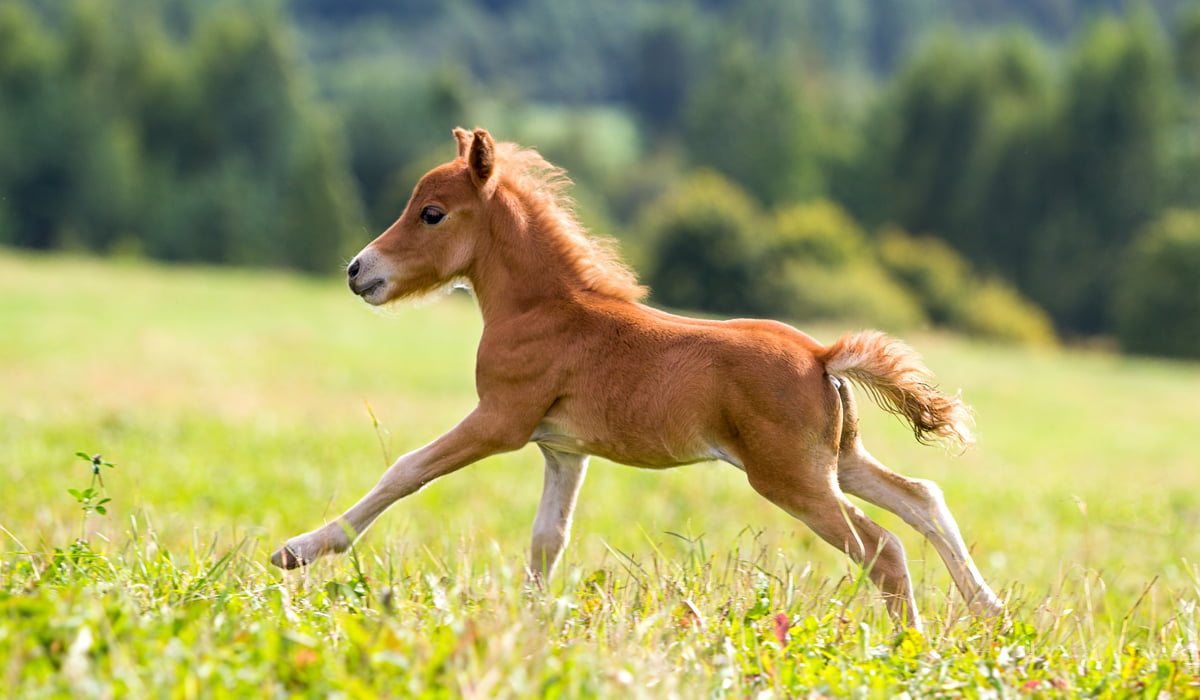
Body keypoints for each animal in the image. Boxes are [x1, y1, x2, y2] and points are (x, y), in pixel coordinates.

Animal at [269, 127, 1005, 630]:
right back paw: (988, 609)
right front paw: (529, 627)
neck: (546, 310)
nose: (358, 270)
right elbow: (547, 539)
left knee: (883, 547)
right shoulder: (563, 449)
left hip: (790, 477)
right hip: (837, 461)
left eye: (432, 213)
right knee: (923, 499)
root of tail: (824, 355)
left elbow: (406, 471)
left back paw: (911, 643)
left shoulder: (501, 420)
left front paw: (299, 550)